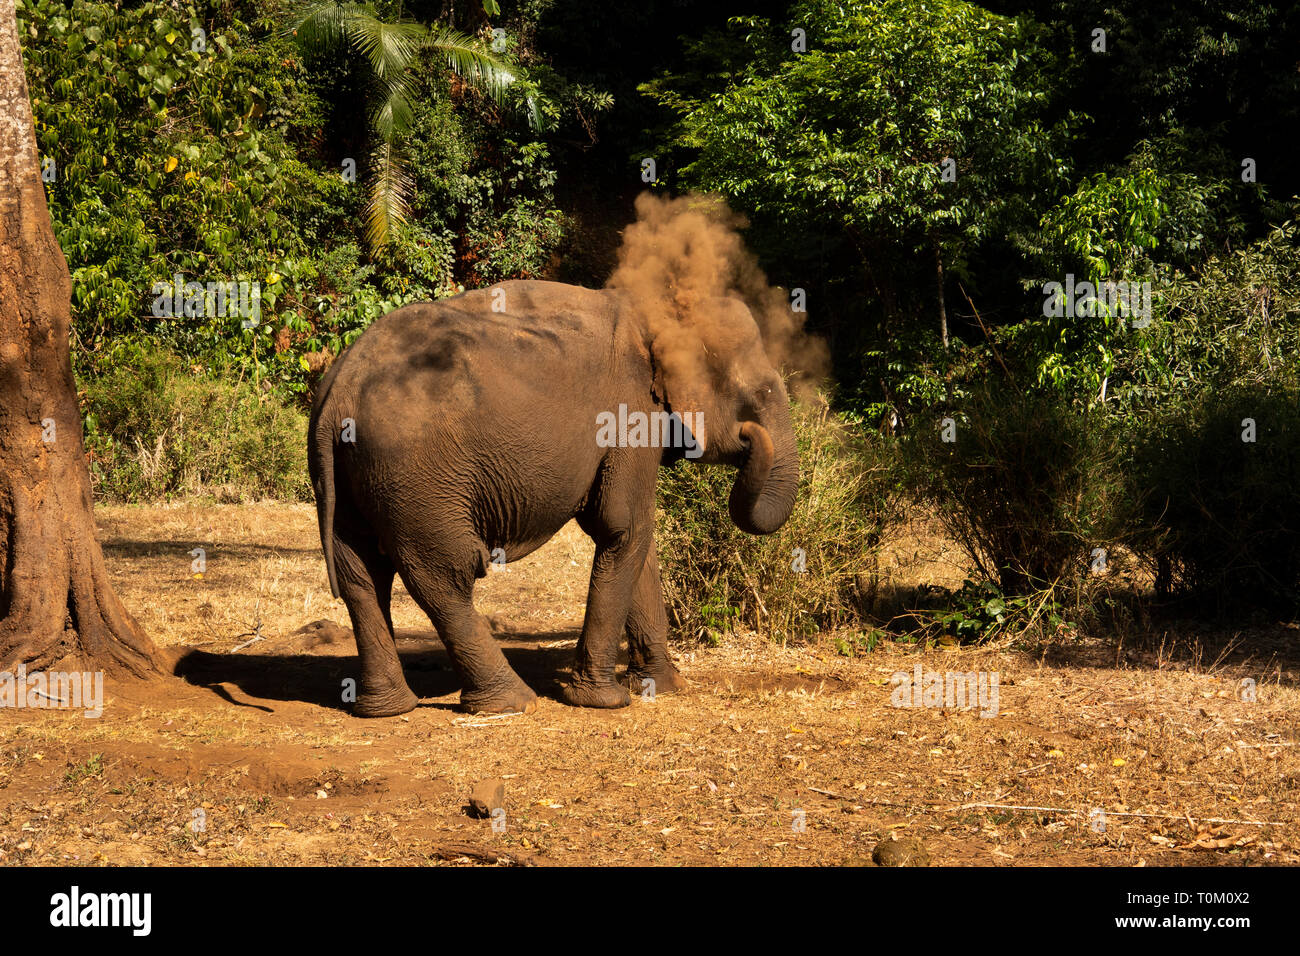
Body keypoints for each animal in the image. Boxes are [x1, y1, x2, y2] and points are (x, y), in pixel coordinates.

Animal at [308, 279, 798, 716]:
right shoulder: (629, 416)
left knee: (361, 574)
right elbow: (623, 527)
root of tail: (338, 392)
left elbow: (636, 541)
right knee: (445, 575)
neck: (656, 308)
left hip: (353, 475)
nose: (747, 435)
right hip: (417, 478)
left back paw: (386, 709)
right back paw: (512, 702)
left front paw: (663, 687)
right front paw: (605, 702)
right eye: (761, 393)